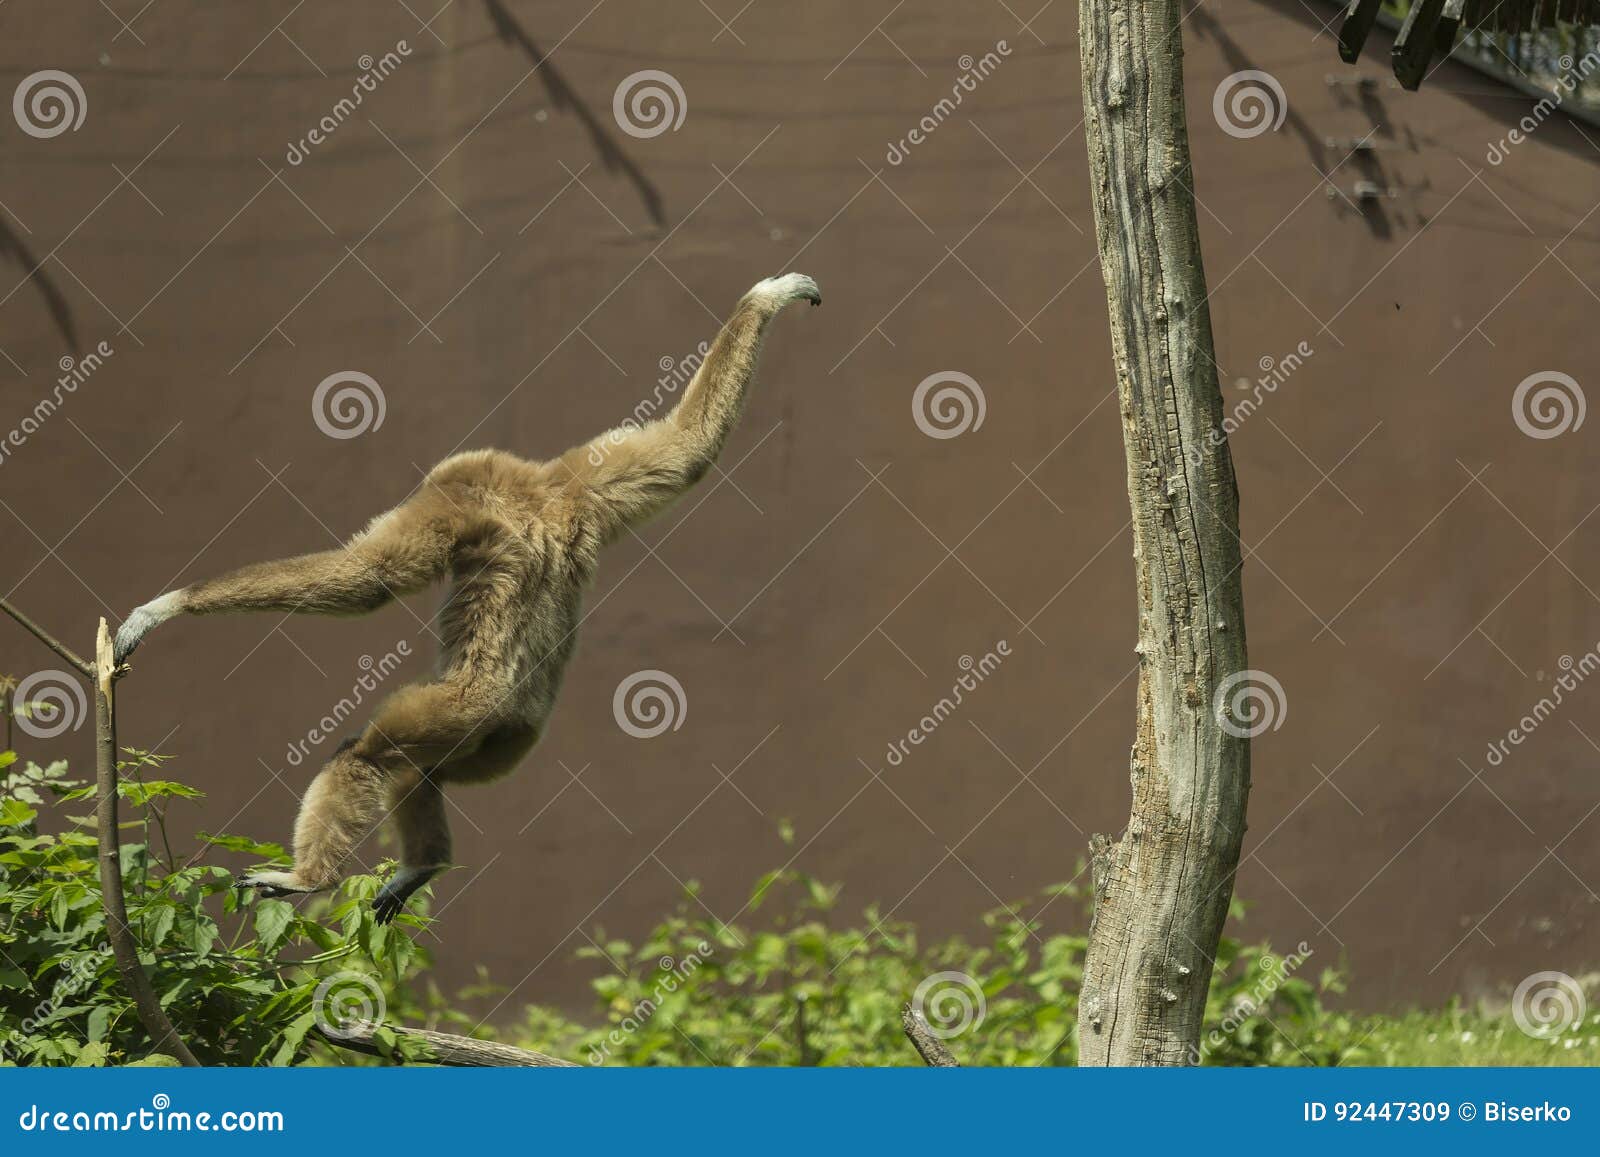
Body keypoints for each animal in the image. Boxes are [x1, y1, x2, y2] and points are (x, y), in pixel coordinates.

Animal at [113, 272, 821, 924]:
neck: (531, 498)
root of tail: (511, 717)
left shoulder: (457, 501)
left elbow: (365, 580)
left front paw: (164, 606)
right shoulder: (581, 491)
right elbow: (686, 449)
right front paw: (770, 297)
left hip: (458, 712)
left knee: (370, 754)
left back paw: (310, 877)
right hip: (503, 741)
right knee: (418, 773)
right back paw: (423, 867)